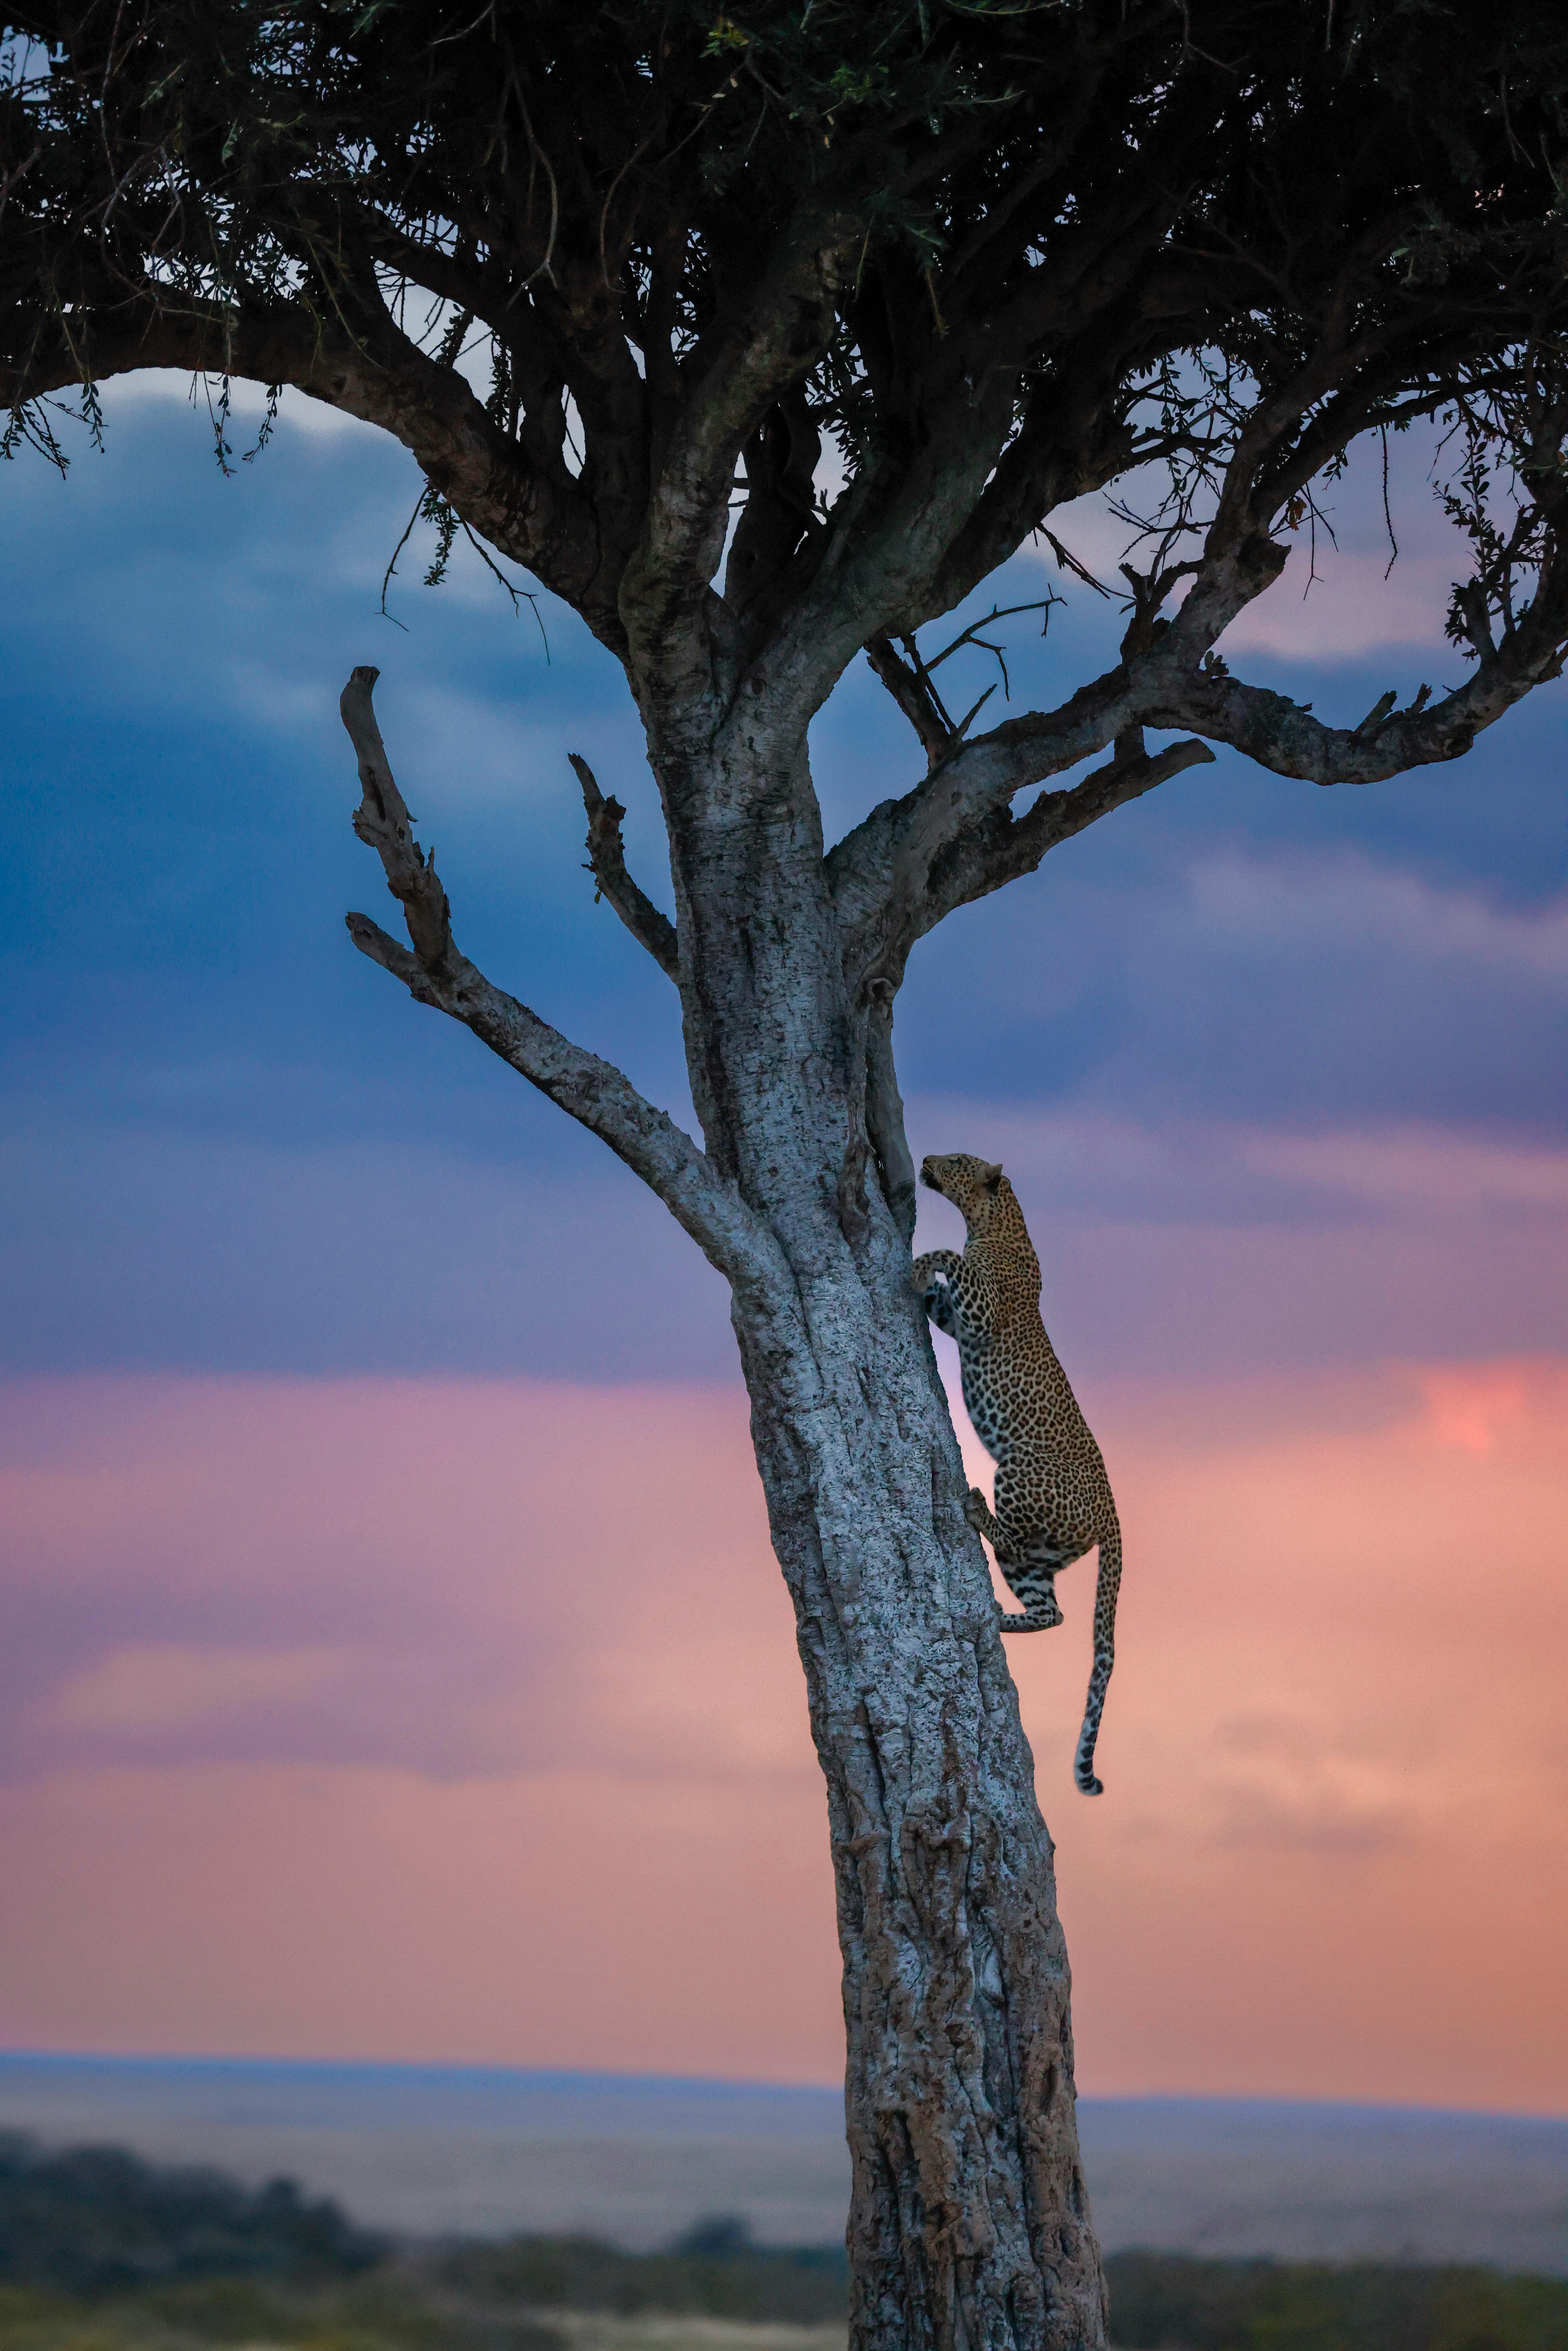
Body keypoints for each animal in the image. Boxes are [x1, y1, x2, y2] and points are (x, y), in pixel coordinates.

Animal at [914, 1151, 1121, 1796]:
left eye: (957, 1161)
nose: (925, 1159)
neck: (993, 1219)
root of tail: (1113, 1512)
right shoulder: (959, 1318)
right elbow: (941, 1297)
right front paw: (922, 1279)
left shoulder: (981, 1310)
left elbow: (948, 1259)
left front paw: (919, 1264)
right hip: (1042, 1554)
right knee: (1050, 1609)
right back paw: (1000, 1621)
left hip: (1018, 1468)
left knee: (1007, 1532)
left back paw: (976, 1508)